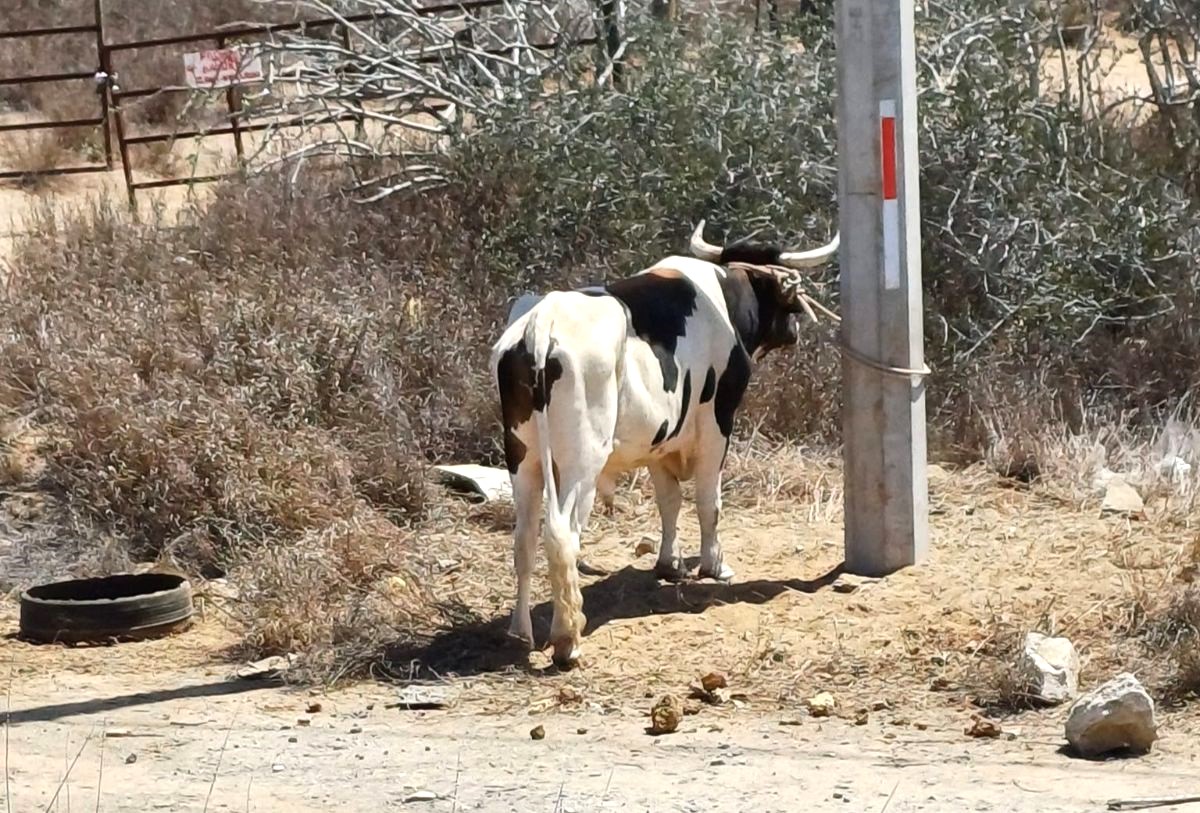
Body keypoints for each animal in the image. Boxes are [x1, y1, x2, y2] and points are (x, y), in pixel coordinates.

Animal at [490, 220, 840, 667]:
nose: (793, 332)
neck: (722, 297)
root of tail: (542, 322)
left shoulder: (660, 437)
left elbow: (668, 501)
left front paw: (669, 562)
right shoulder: (716, 423)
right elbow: (709, 502)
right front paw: (714, 564)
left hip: (523, 459)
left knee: (523, 539)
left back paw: (519, 633)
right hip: (580, 462)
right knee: (560, 536)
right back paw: (568, 640)